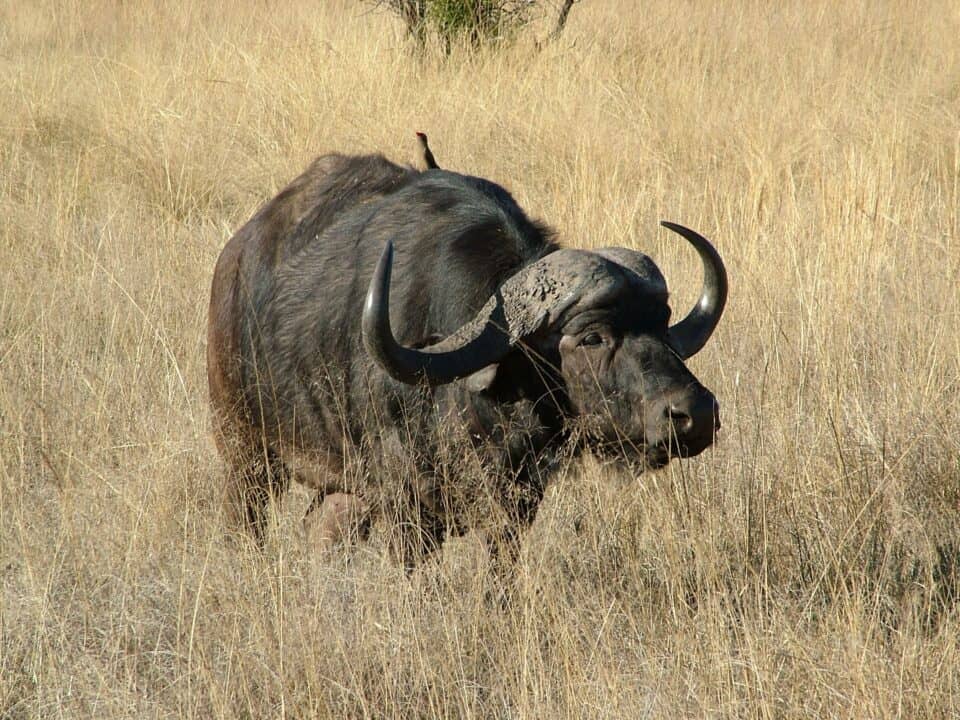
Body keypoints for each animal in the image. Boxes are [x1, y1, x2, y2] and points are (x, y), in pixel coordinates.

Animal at [207, 144, 727, 569]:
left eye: (661, 324)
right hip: (243, 451)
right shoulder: (407, 509)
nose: (695, 414)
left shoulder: (514, 506)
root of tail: (234, 256)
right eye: (591, 338)